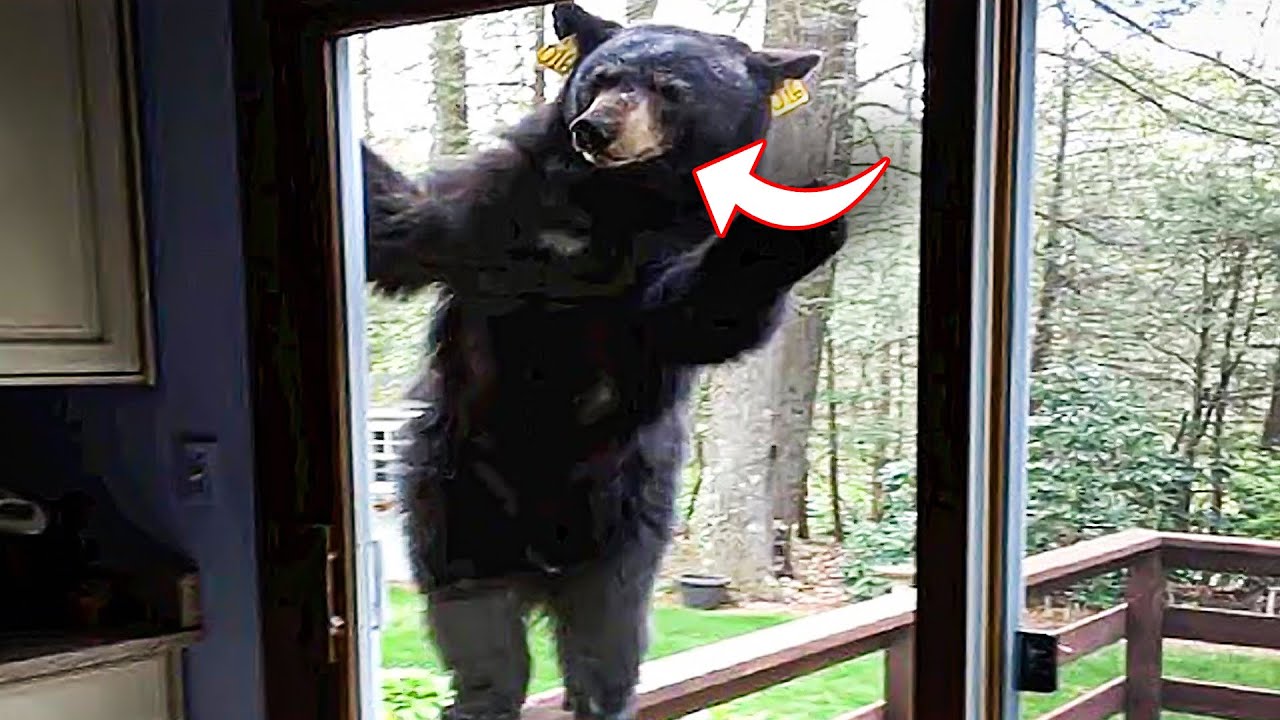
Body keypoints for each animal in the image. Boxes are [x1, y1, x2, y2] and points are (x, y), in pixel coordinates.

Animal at [361, 5, 846, 719]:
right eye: (601, 77)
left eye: (671, 89)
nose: (594, 128)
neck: (615, 203)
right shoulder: (493, 210)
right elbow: (402, 225)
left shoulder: (659, 267)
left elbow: (696, 316)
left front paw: (786, 226)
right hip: (449, 503)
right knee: (482, 645)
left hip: (626, 525)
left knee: (603, 653)